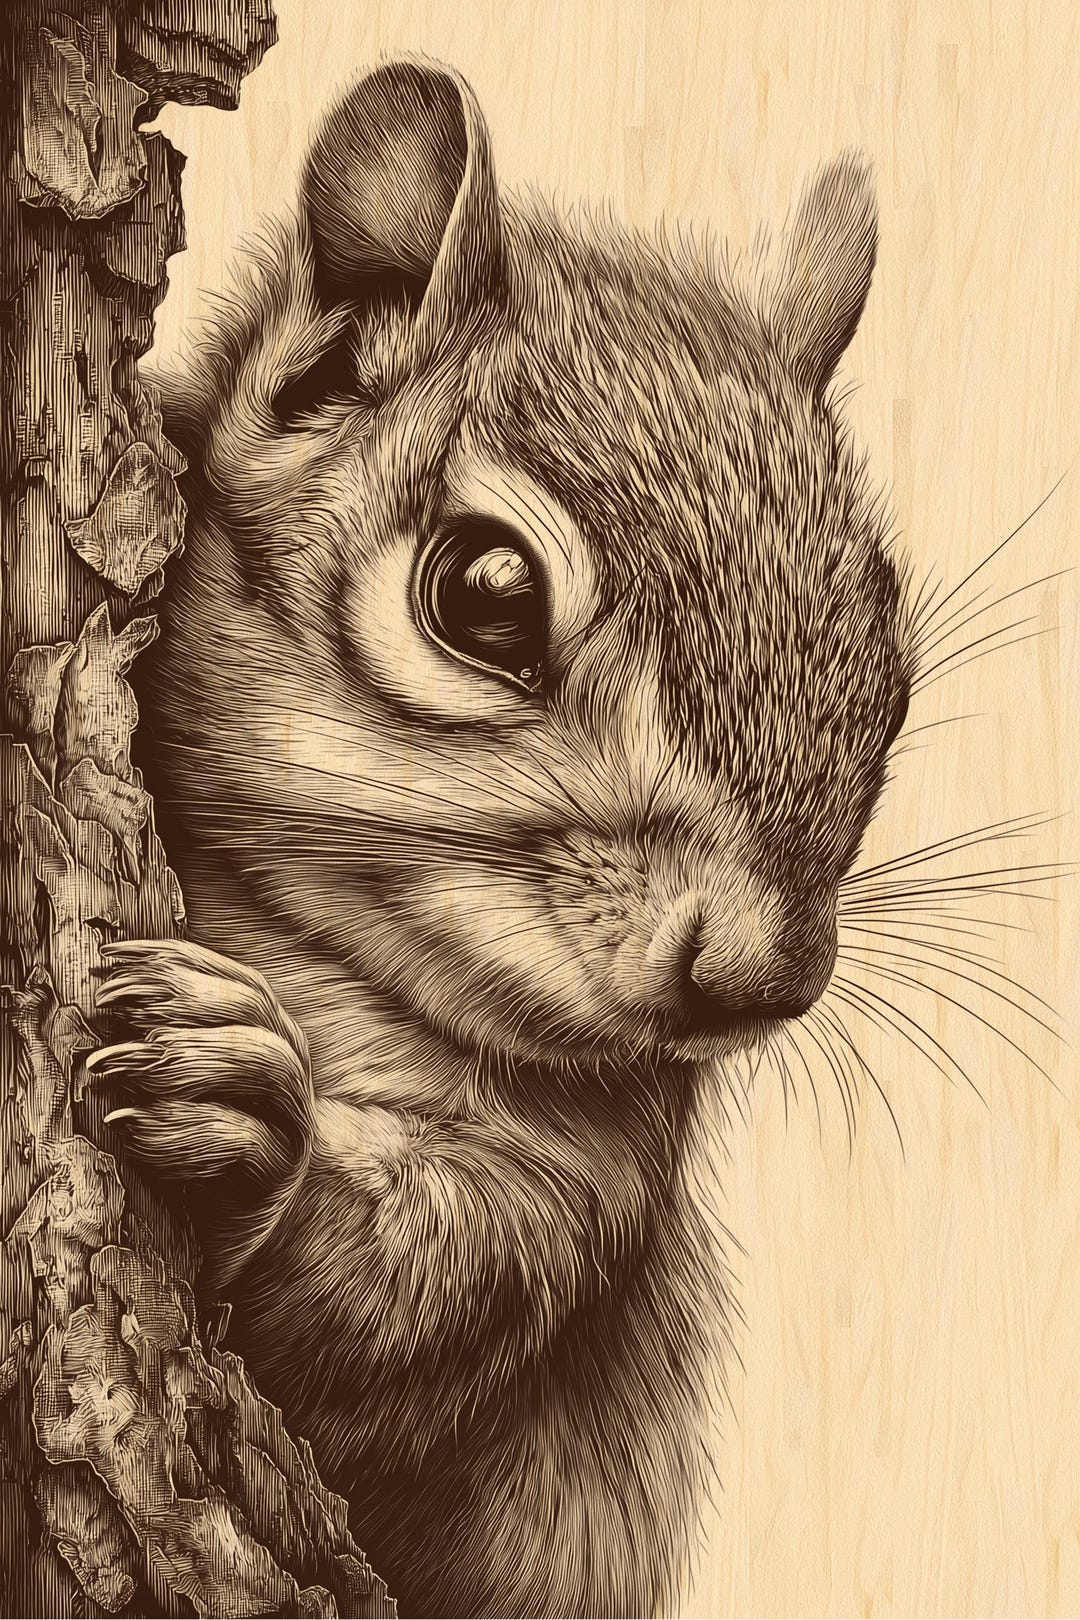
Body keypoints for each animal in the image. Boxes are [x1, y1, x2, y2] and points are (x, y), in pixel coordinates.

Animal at [91, 59, 915, 1619]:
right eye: (486, 596)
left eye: (892, 680)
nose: (760, 983)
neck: (332, 956)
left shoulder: (593, 1170)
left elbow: (419, 1307)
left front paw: (245, 1133)